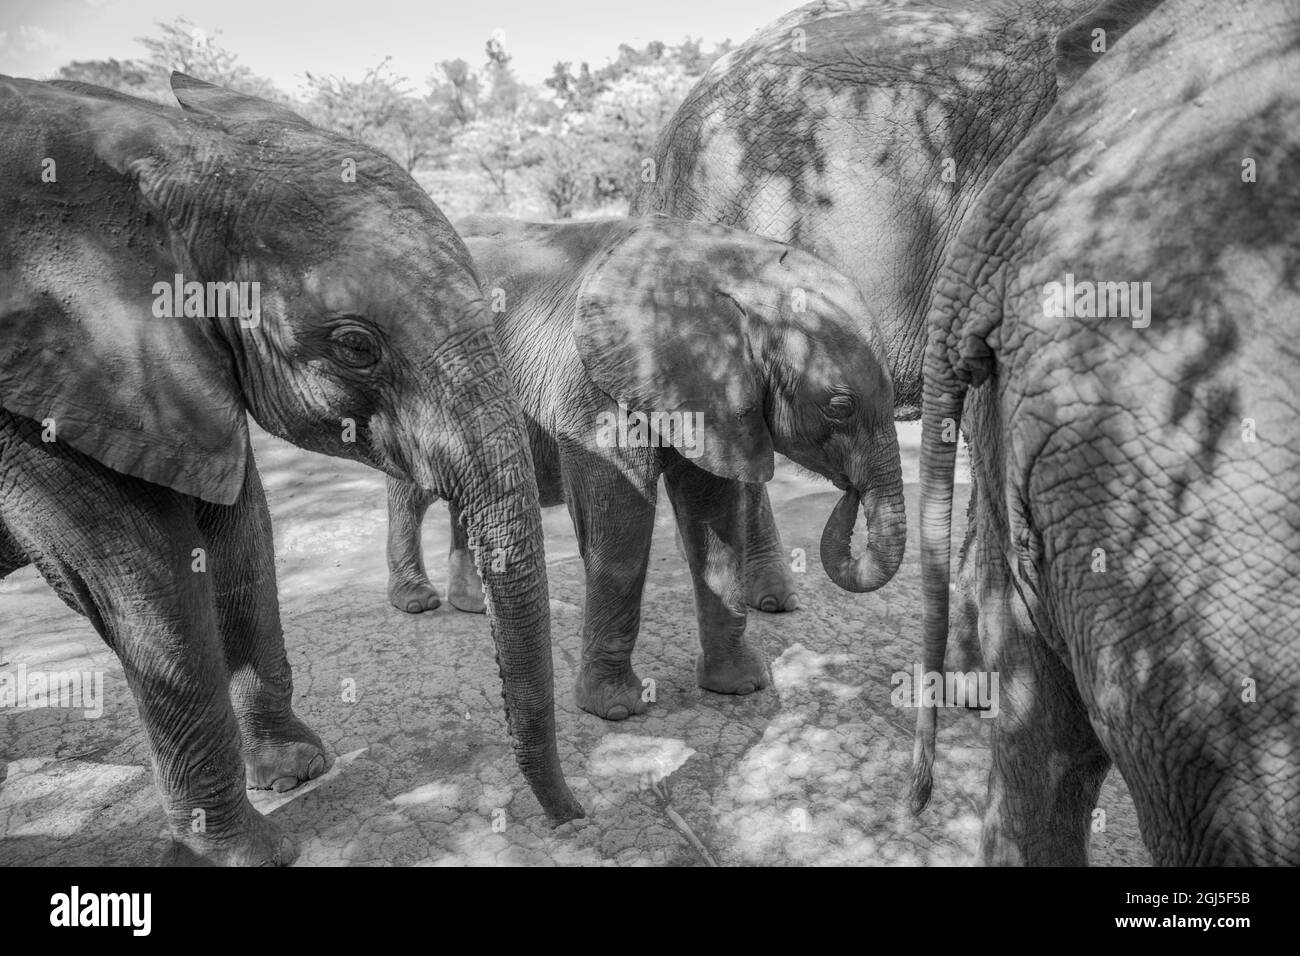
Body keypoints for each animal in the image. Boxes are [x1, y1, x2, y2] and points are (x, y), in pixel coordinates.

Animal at [0, 74, 581, 865]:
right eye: (356, 347)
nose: (572, 816)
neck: (165, 147)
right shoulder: (48, 389)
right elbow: (143, 575)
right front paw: (248, 851)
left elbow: (241, 536)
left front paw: (295, 770)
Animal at [386, 214, 906, 720]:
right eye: (839, 407)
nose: (850, 491)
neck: (732, 264)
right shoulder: (596, 387)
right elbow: (621, 525)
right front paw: (617, 710)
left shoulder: (710, 394)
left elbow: (714, 518)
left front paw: (740, 686)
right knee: (414, 492)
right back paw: (417, 603)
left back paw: (471, 605)